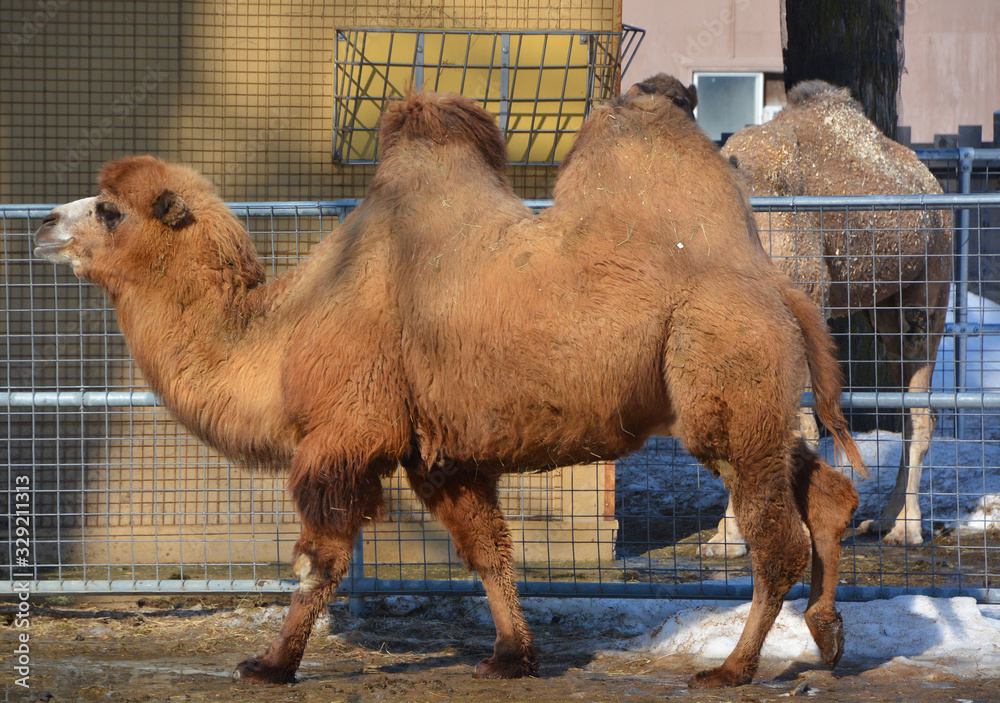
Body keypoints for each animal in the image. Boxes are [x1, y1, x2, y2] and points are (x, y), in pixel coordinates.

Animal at [34, 84, 866, 688]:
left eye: (108, 210)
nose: (42, 222)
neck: (283, 332)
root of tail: (776, 286)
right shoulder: (439, 452)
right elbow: (488, 548)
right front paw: (512, 655)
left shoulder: (345, 432)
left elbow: (318, 560)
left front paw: (271, 664)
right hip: (745, 395)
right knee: (821, 487)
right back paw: (827, 634)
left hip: (720, 372)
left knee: (774, 536)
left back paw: (733, 668)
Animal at [695, 80, 952, 557]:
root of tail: (931, 182)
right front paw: (725, 539)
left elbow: (795, 430)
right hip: (881, 308)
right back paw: (883, 520)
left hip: (930, 285)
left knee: (920, 409)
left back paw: (906, 529)